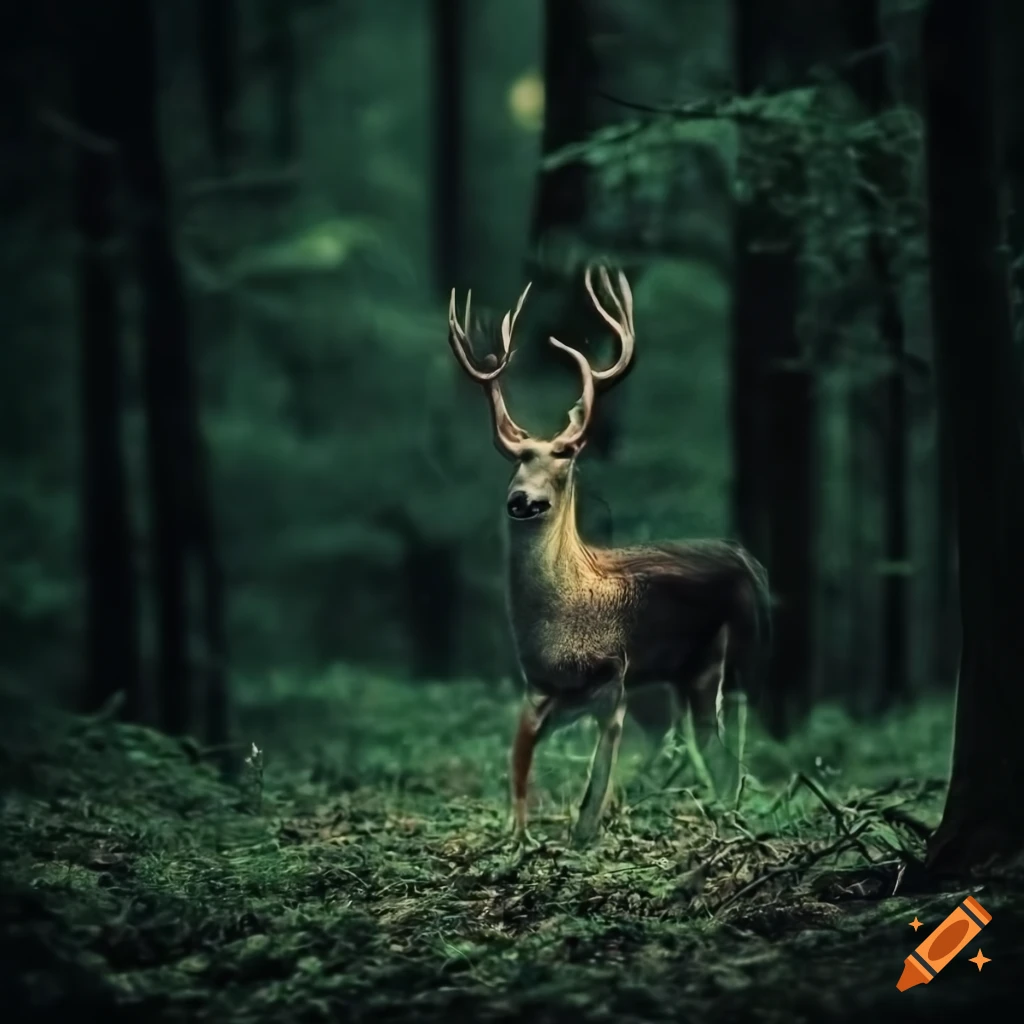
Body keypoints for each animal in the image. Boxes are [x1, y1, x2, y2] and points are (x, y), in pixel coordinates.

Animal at [446, 266, 772, 852]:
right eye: (515, 459)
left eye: (564, 456)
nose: (521, 499)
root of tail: (748, 560)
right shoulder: (540, 688)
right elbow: (518, 767)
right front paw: (517, 838)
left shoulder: (614, 676)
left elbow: (597, 775)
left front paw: (582, 837)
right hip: (684, 676)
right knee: (705, 745)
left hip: (733, 655)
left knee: (730, 740)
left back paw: (729, 817)